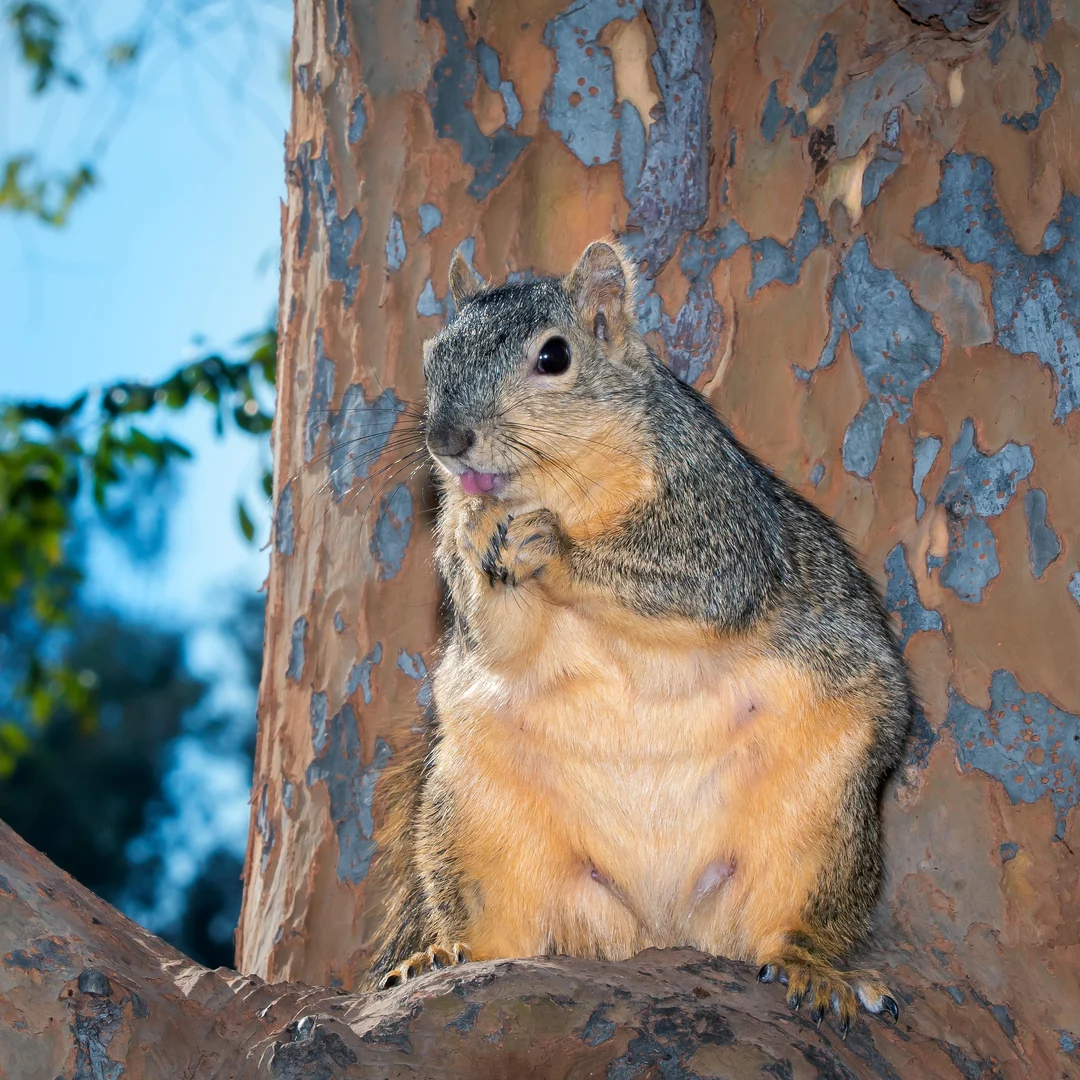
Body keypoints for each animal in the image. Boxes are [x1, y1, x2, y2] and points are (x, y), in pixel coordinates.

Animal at [367, 239, 913, 1033]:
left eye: (554, 356)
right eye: (435, 353)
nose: (447, 442)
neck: (553, 485)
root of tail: (662, 924)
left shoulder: (716, 521)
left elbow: (698, 581)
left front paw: (555, 547)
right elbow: (498, 639)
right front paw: (475, 535)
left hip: (822, 816)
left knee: (798, 919)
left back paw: (813, 967)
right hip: (476, 816)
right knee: (504, 930)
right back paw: (445, 954)